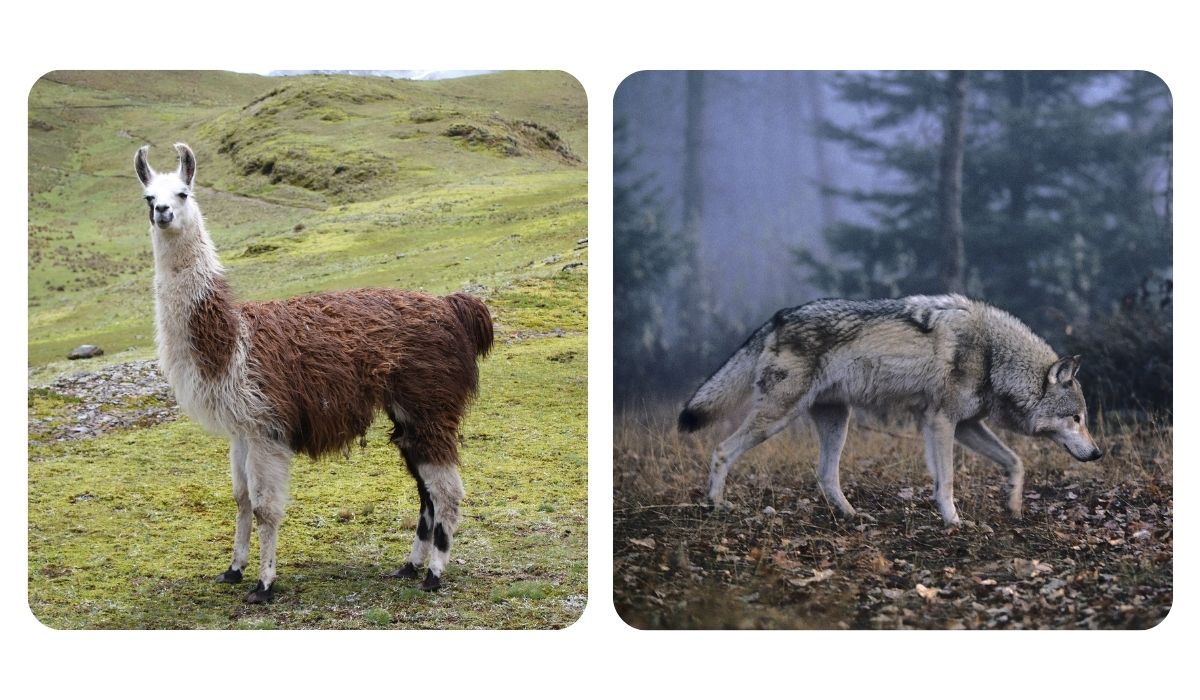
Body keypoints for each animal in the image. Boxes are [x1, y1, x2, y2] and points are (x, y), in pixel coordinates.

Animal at [678, 295, 1102, 526]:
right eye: (1076, 419)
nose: (1098, 453)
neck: (993, 355)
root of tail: (778, 316)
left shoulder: (964, 425)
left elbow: (1016, 463)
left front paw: (1012, 505)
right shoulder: (943, 422)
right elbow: (948, 481)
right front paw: (954, 521)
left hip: (837, 420)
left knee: (825, 475)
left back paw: (852, 516)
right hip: (778, 418)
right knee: (722, 449)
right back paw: (716, 504)